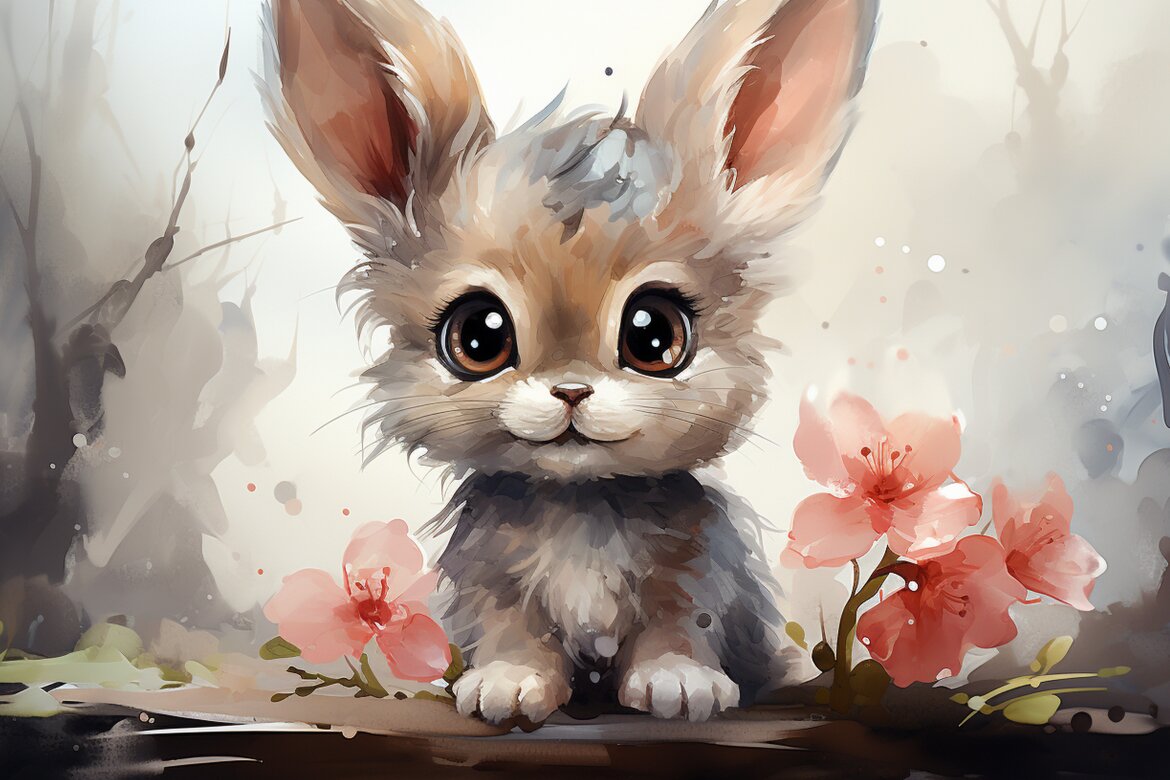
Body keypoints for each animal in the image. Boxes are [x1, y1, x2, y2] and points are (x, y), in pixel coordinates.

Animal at [266, 0, 877, 723]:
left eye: (654, 335)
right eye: (478, 337)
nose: (571, 391)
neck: (578, 502)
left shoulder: (697, 578)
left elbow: (680, 627)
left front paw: (679, 684)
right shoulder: (492, 584)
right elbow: (513, 633)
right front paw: (507, 686)